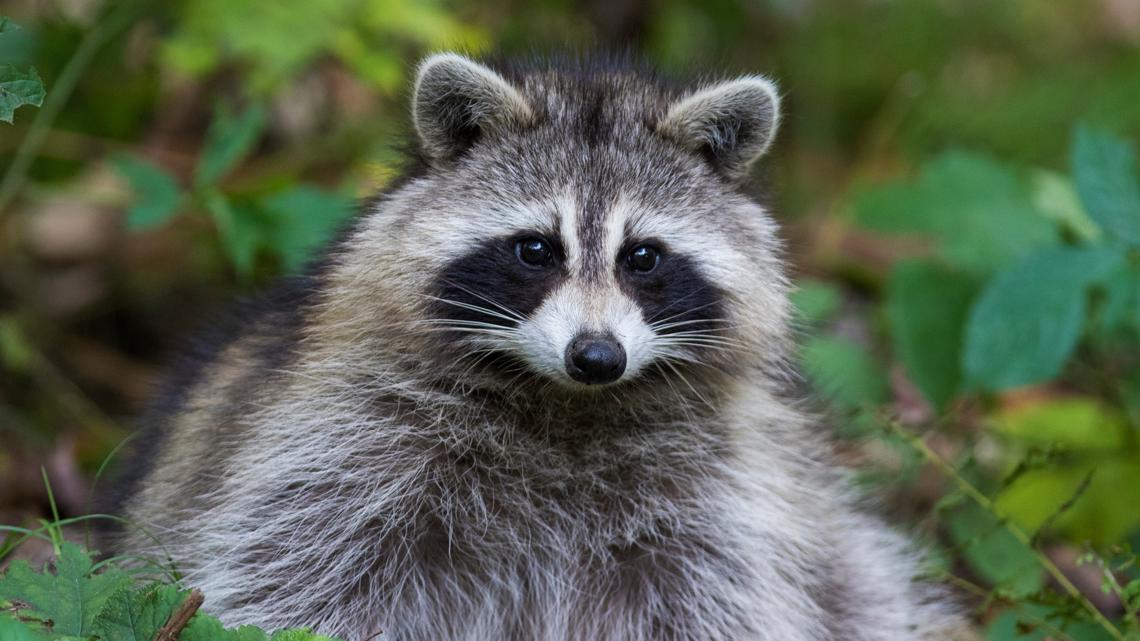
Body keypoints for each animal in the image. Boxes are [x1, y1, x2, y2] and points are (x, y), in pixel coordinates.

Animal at [111, 53, 966, 641]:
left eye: (642, 257)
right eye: (535, 250)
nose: (597, 356)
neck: (562, 403)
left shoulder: (718, 501)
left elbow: (712, 598)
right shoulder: (345, 448)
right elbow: (299, 579)